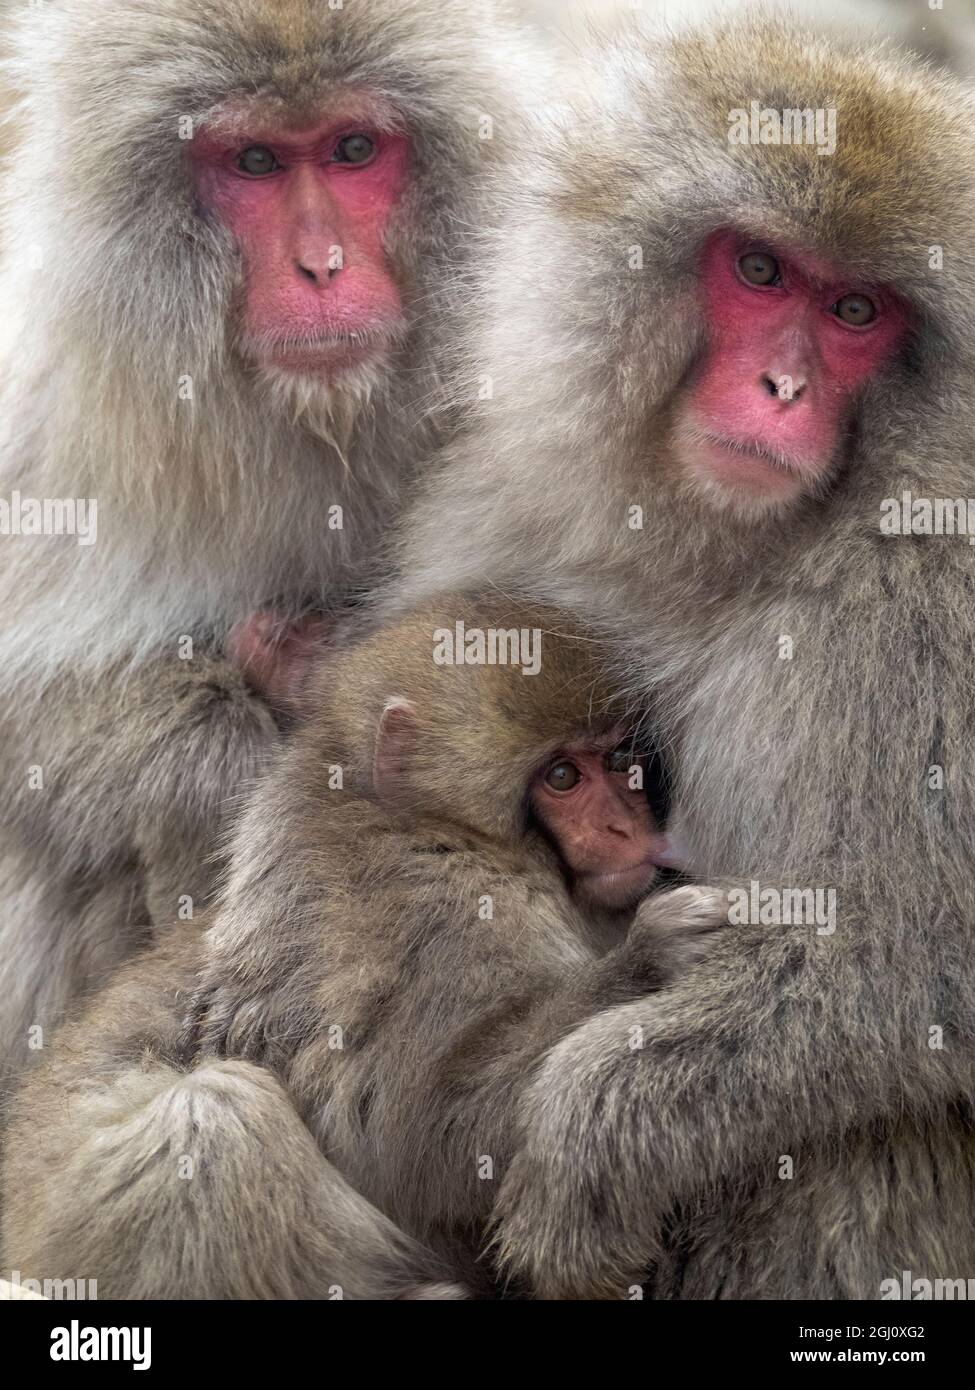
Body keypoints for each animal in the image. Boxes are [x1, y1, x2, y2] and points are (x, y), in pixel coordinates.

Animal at [0, 0, 542, 1090]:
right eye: (253, 161)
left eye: (352, 150)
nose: (321, 268)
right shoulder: (53, 395)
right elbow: (29, 708)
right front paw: (225, 780)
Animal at [1, 597, 725, 1299]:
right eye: (563, 776)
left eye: (618, 761)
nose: (626, 827)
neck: (425, 820)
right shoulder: (438, 913)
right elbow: (421, 1142)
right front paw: (647, 957)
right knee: (211, 1117)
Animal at [386, 17, 975, 1298]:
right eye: (758, 271)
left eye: (857, 310)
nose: (782, 387)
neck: (729, 543)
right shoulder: (512, 509)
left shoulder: (931, 597)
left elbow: (909, 968)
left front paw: (586, 1136)